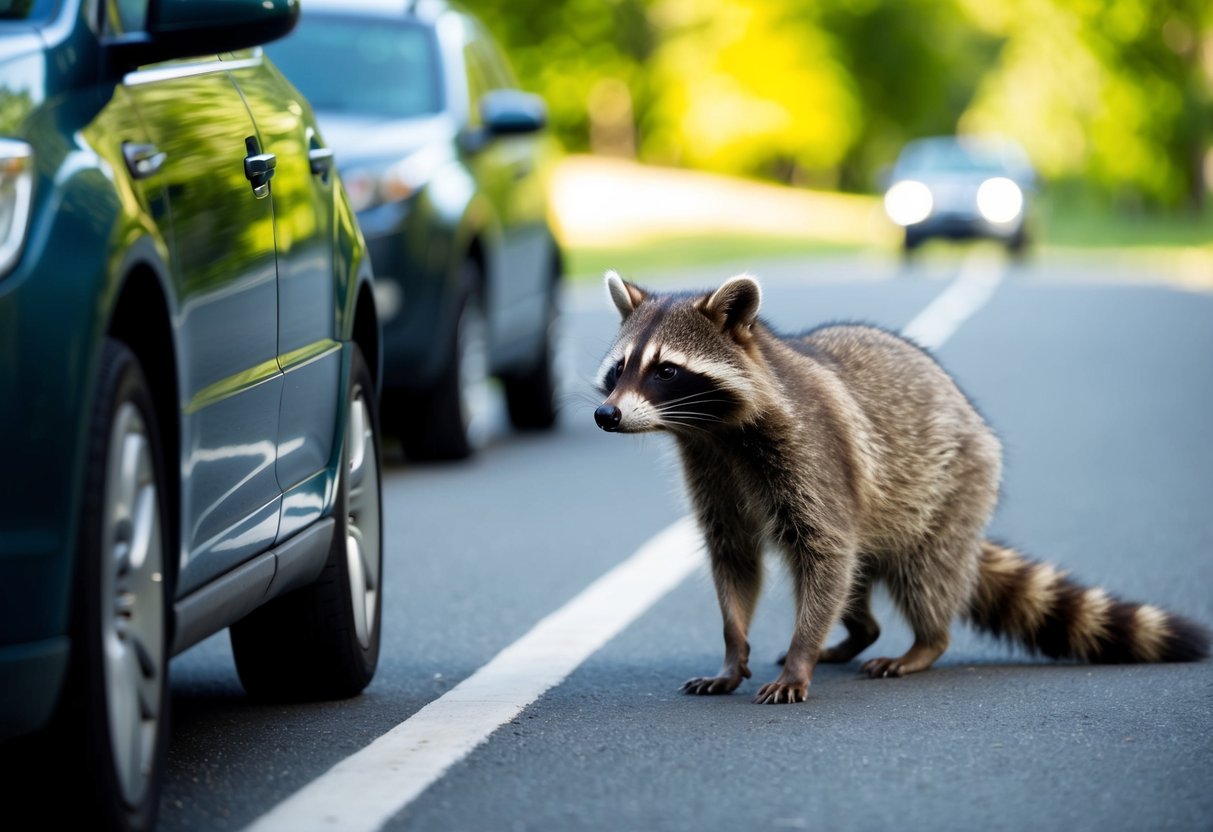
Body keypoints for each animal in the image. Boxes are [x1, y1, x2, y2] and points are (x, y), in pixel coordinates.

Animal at [594, 270, 1209, 704]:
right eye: (619, 368)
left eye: (666, 370)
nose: (606, 415)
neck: (714, 429)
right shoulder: (711, 470)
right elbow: (735, 556)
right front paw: (732, 650)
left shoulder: (812, 454)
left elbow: (827, 549)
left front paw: (799, 657)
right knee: (854, 581)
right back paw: (858, 632)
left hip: (952, 487)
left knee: (920, 573)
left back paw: (923, 643)